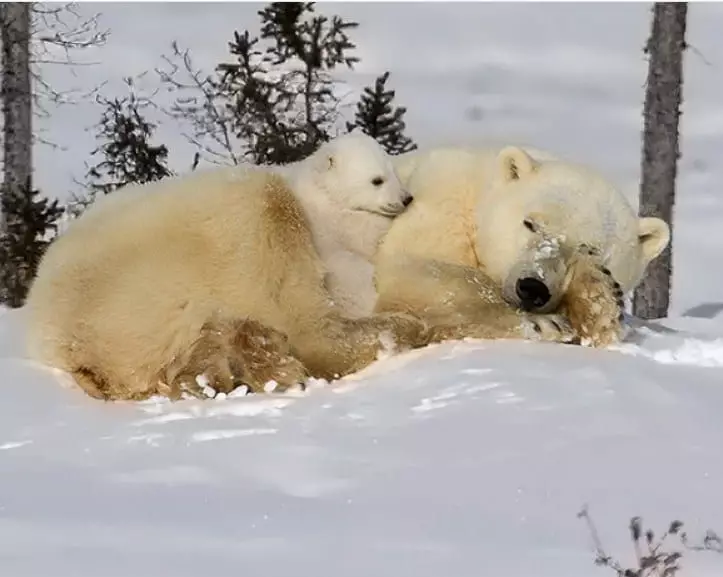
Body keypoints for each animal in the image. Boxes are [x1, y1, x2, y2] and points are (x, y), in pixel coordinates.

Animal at [376, 144, 672, 346]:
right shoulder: (438, 215)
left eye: (590, 249)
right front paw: (548, 325)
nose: (532, 288)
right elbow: (412, 274)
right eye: (530, 223)